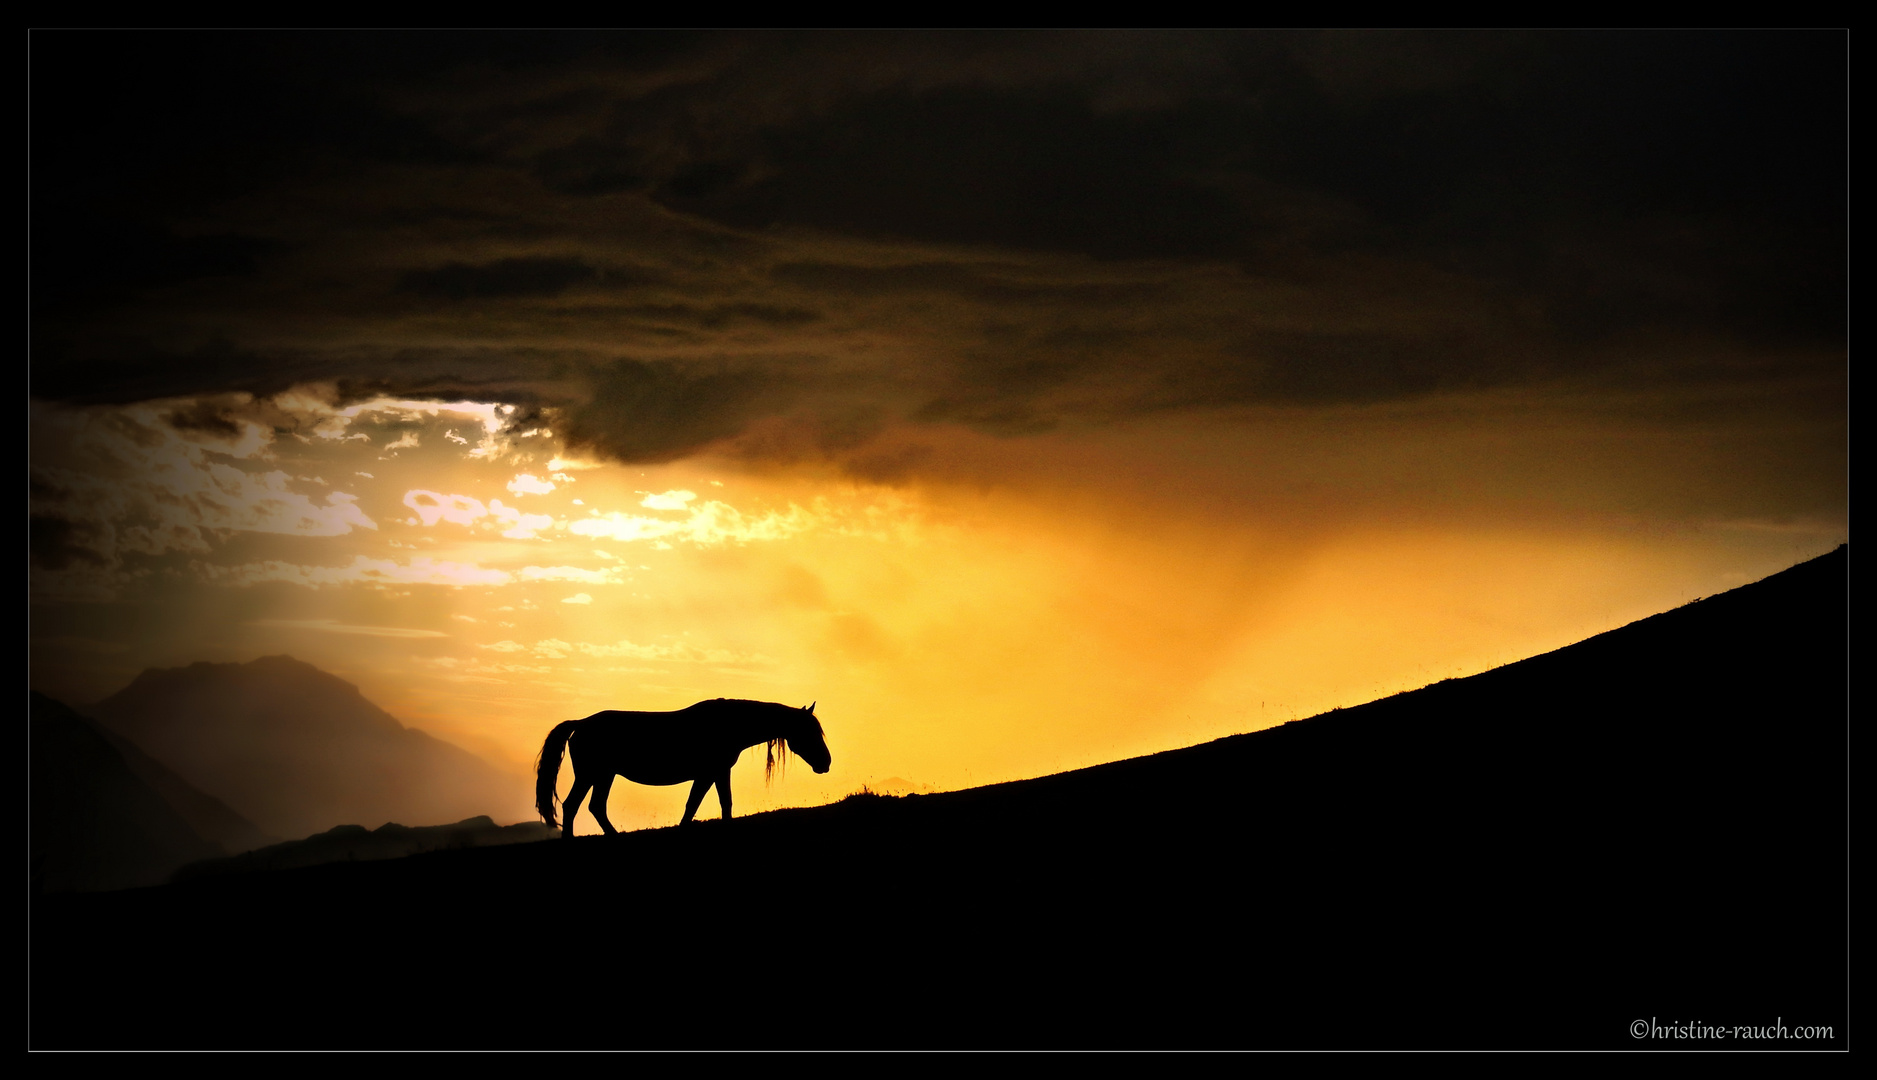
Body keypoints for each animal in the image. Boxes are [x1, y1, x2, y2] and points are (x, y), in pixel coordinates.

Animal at [534, 698, 830, 836]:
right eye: (810, 732)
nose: (826, 763)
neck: (728, 726)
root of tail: (581, 723)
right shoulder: (707, 773)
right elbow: (695, 804)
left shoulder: (718, 772)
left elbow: (722, 803)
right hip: (590, 774)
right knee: (572, 805)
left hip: (604, 775)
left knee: (594, 806)